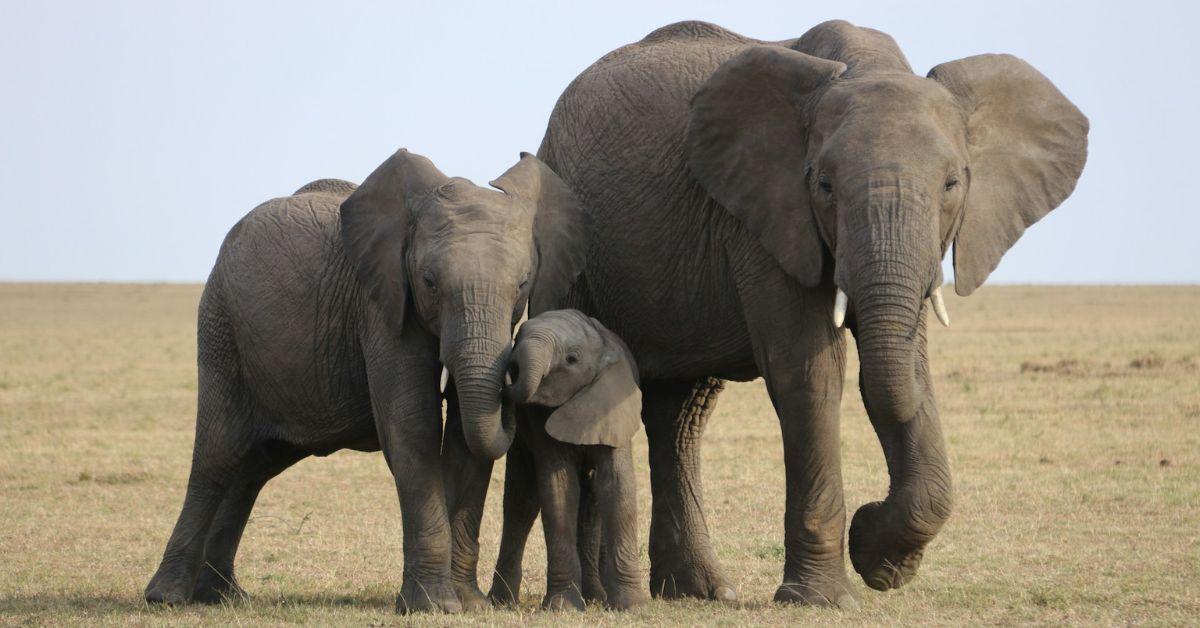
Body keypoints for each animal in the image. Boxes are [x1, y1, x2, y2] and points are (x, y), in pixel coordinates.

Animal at [143, 148, 588, 613]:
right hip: (221, 327)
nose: (515, 378)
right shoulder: (380, 306)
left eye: (522, 285)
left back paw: (223, 596)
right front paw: (433, 605)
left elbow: (465, 440)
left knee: (253, 467)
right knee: (219, 454)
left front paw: (469, 604)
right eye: (429, 283)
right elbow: (413, 426)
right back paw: (168, 596)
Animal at [486, 310, 648, 611]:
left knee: (591, 503)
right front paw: (562, 607)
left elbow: (617, 486)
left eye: (572, 359)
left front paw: (632, 606)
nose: (510, 367)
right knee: (521, 502)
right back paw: (501, 602)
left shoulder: (613, 407)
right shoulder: (538, 419)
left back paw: (596, 597)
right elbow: (559, 489)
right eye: (518, 336)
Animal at [523, 19, 1088, 606]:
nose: (868, 520)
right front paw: (826, 595)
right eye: (824, 185)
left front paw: (882, 562)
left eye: (953, 183)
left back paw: (701, 591)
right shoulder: (763, 216)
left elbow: (907, 369)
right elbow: (811, 371)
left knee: (681, 414)